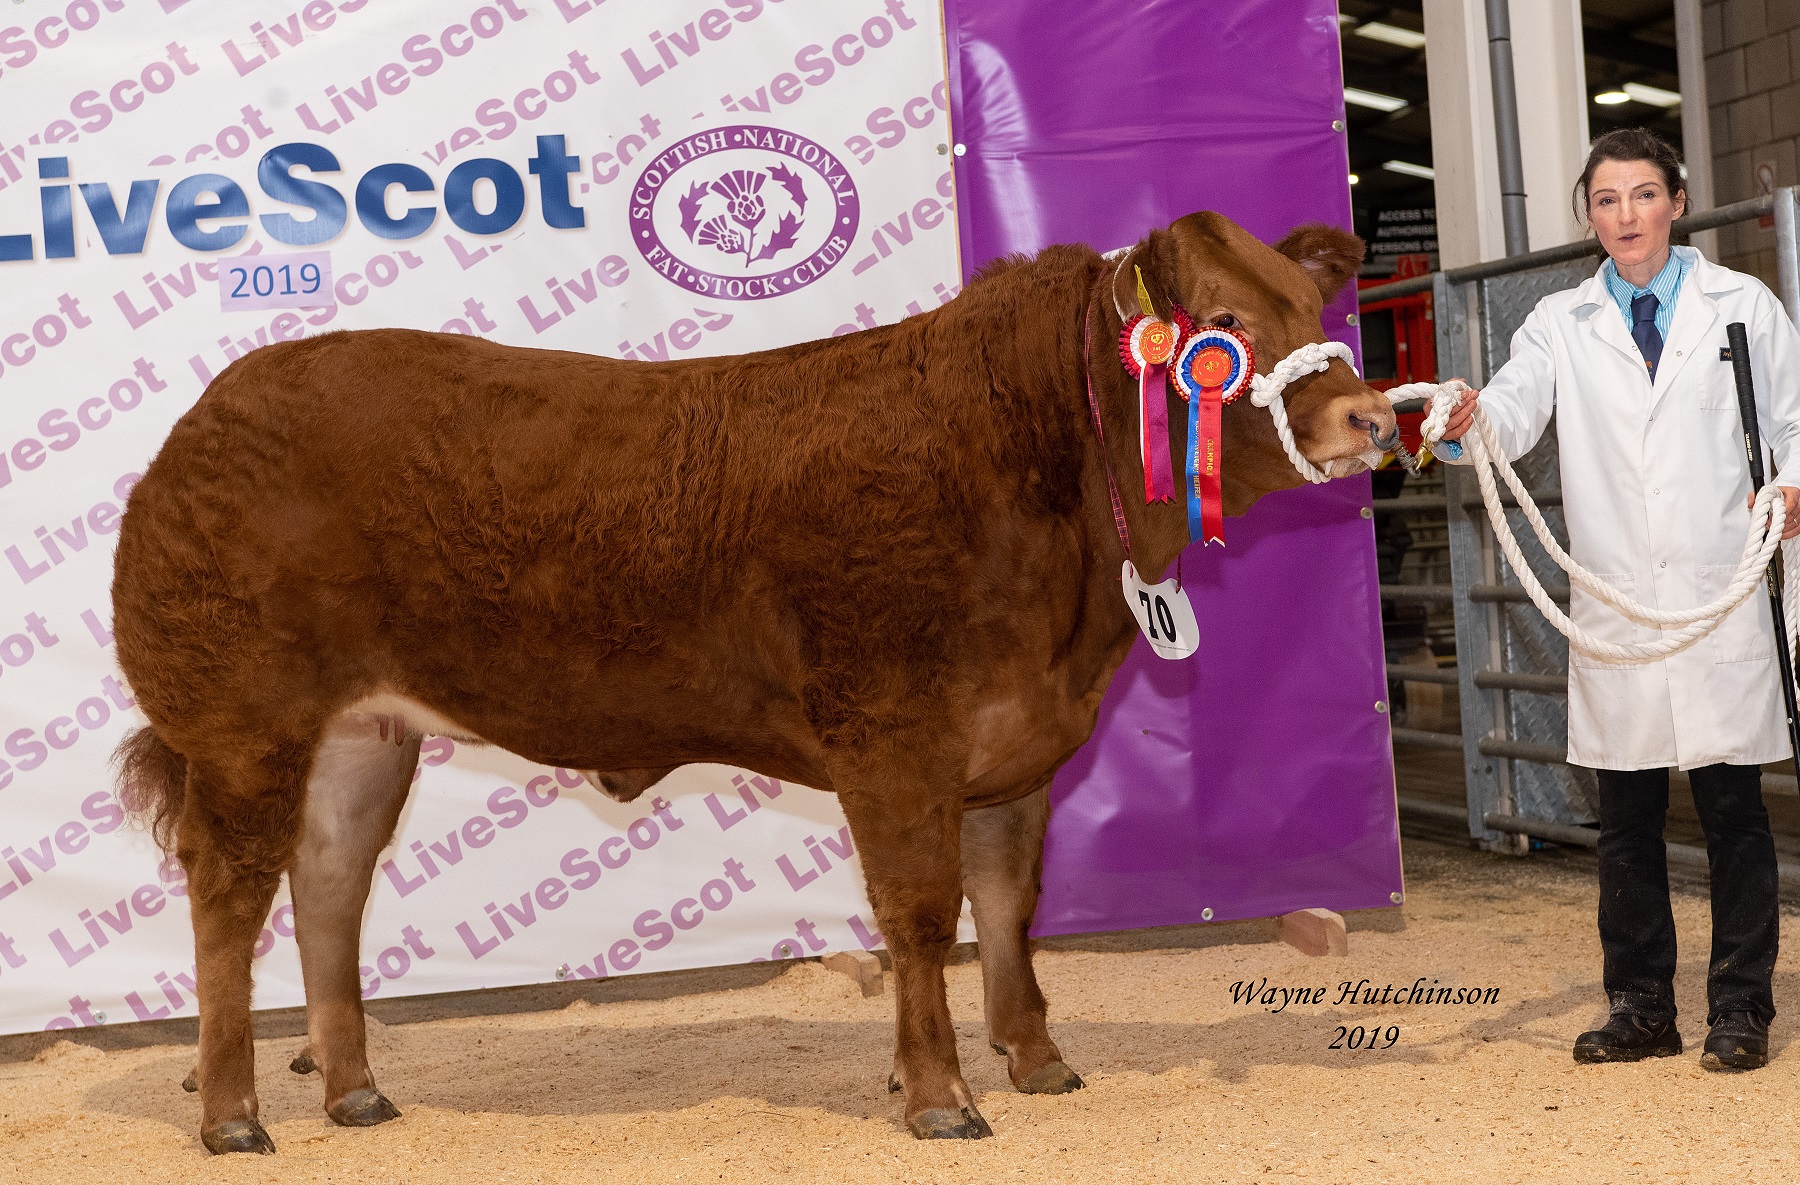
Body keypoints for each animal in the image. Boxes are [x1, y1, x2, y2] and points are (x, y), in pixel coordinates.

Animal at [111, 210, 1395, 1153]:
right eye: (1225, 323)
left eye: (1313, 310)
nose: (1373, 417)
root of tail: (213, 411)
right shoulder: (894, 733)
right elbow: (921, 914)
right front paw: (940, 1096)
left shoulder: (1014, 747)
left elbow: (1008, 905)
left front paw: (1038, 1062)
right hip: (244, 726)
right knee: (228, 897)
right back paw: (233, 1117)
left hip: (362, 735)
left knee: (329, 885)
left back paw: (355, 1092)